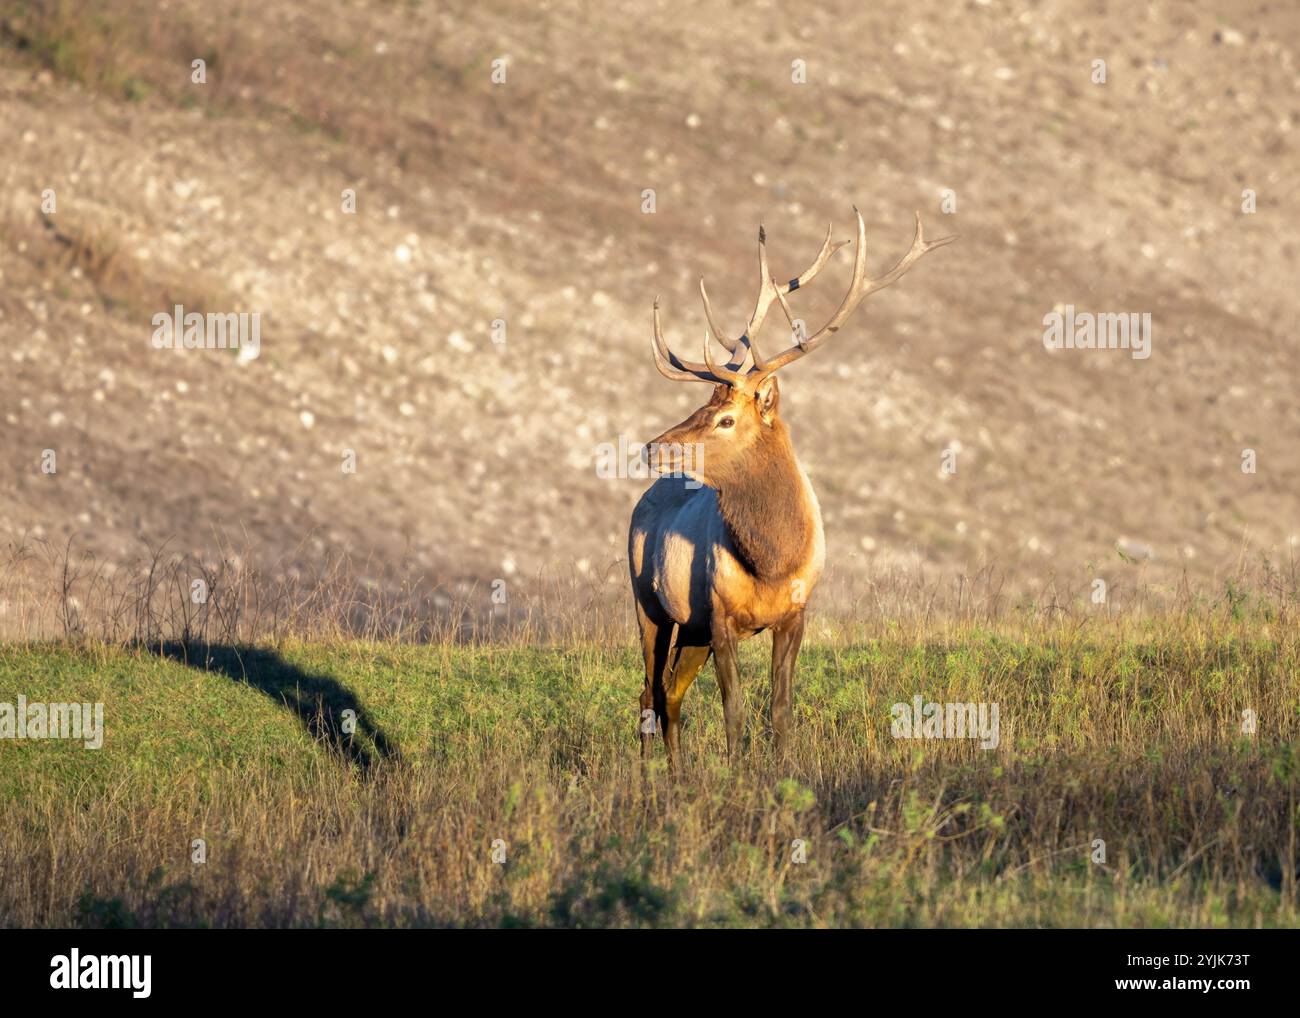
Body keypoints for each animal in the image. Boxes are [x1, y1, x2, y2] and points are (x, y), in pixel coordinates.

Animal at [628, 207, 954, 770]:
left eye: (726, 419)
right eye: (699, 408)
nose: (652, 448)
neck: (773, 561)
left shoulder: (794, 615)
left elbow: (779, 708)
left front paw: (784, 770)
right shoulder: (721, 616)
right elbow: (735, 711)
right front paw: (737, 775)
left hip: (688, 627)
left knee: (669, 692)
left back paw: (677, 774)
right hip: (647, 602)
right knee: (648, 691)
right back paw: (648, 778)